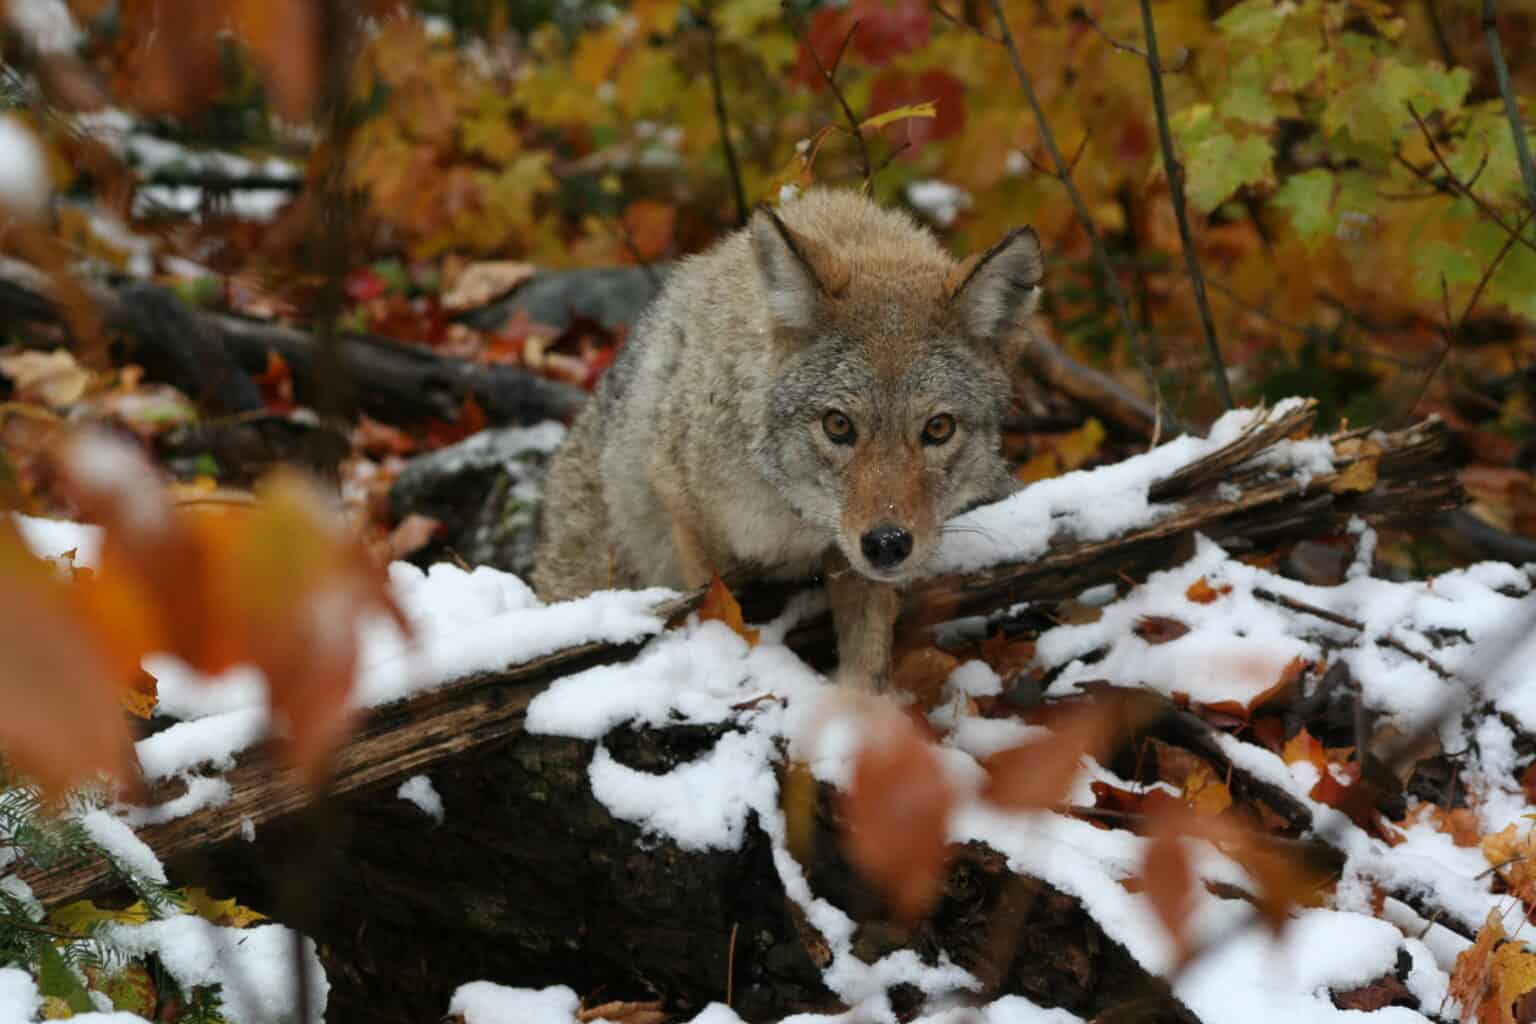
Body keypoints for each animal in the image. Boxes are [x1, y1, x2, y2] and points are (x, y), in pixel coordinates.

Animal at [532, 188, 1042, 690]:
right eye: (838, 425)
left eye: (938, 428)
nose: (888, 543)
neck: (792, 510)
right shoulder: (690, 516)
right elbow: (718, 619)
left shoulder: (853, 560)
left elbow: (867, 660)